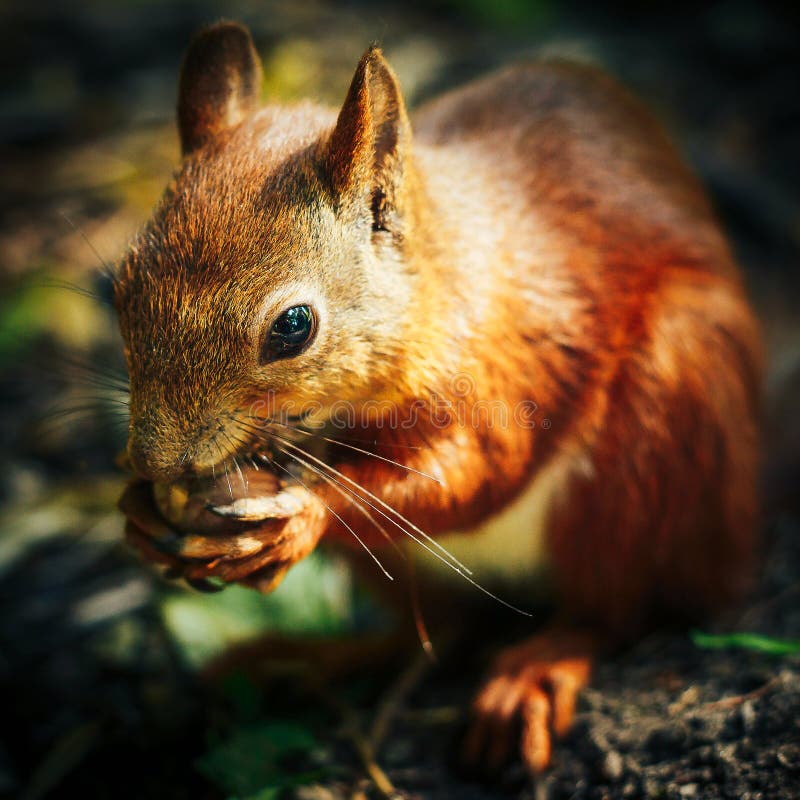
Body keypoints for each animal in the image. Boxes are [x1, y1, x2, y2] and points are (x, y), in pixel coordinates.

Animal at [115, 21, 763, 775]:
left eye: (294, 326)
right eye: (121, 287)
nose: (156, 462)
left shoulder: (505, 369)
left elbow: (470, 475)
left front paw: (303, 514)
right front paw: (139, 516)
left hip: (660, 431)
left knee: (612, 608)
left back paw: (538, 668)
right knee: (431, 630)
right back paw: (300, 660)